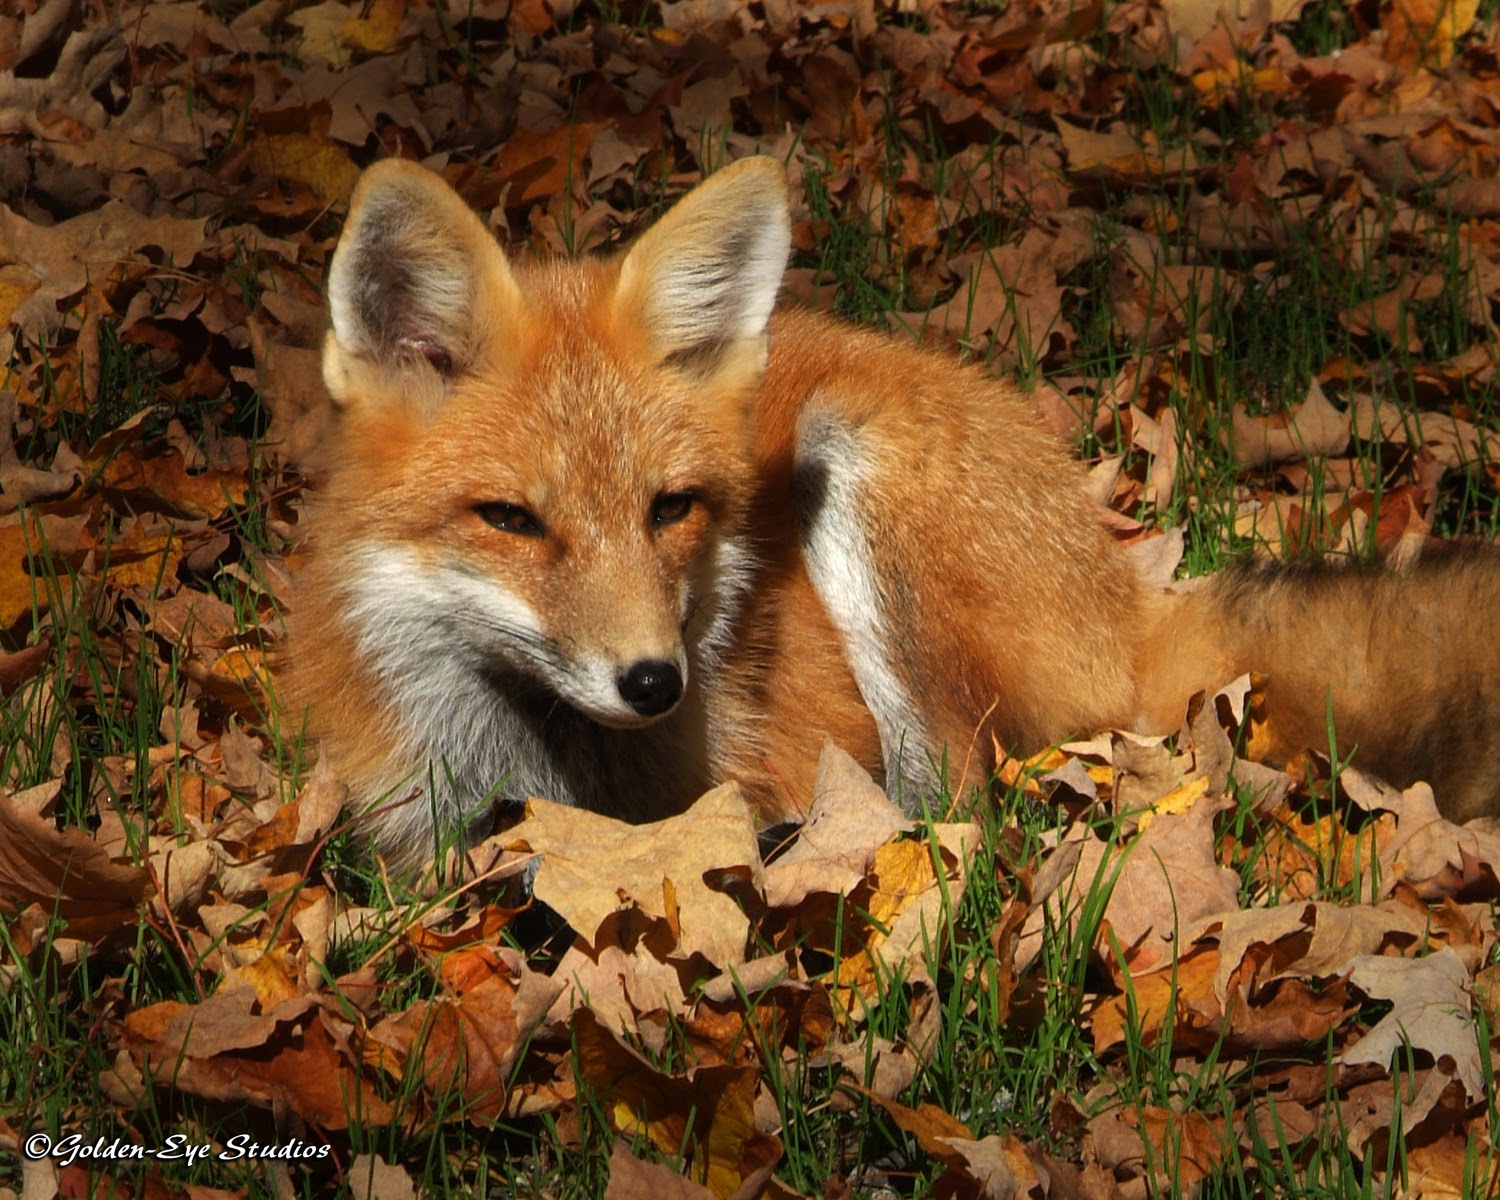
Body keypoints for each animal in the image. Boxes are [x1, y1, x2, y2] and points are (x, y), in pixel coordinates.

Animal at [286, 154, 1500, 870]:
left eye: (670, 508)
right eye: (510, 520)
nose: (654, 681)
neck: (547, 781)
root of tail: (1126, 599)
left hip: (859, 471)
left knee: (968, 805)